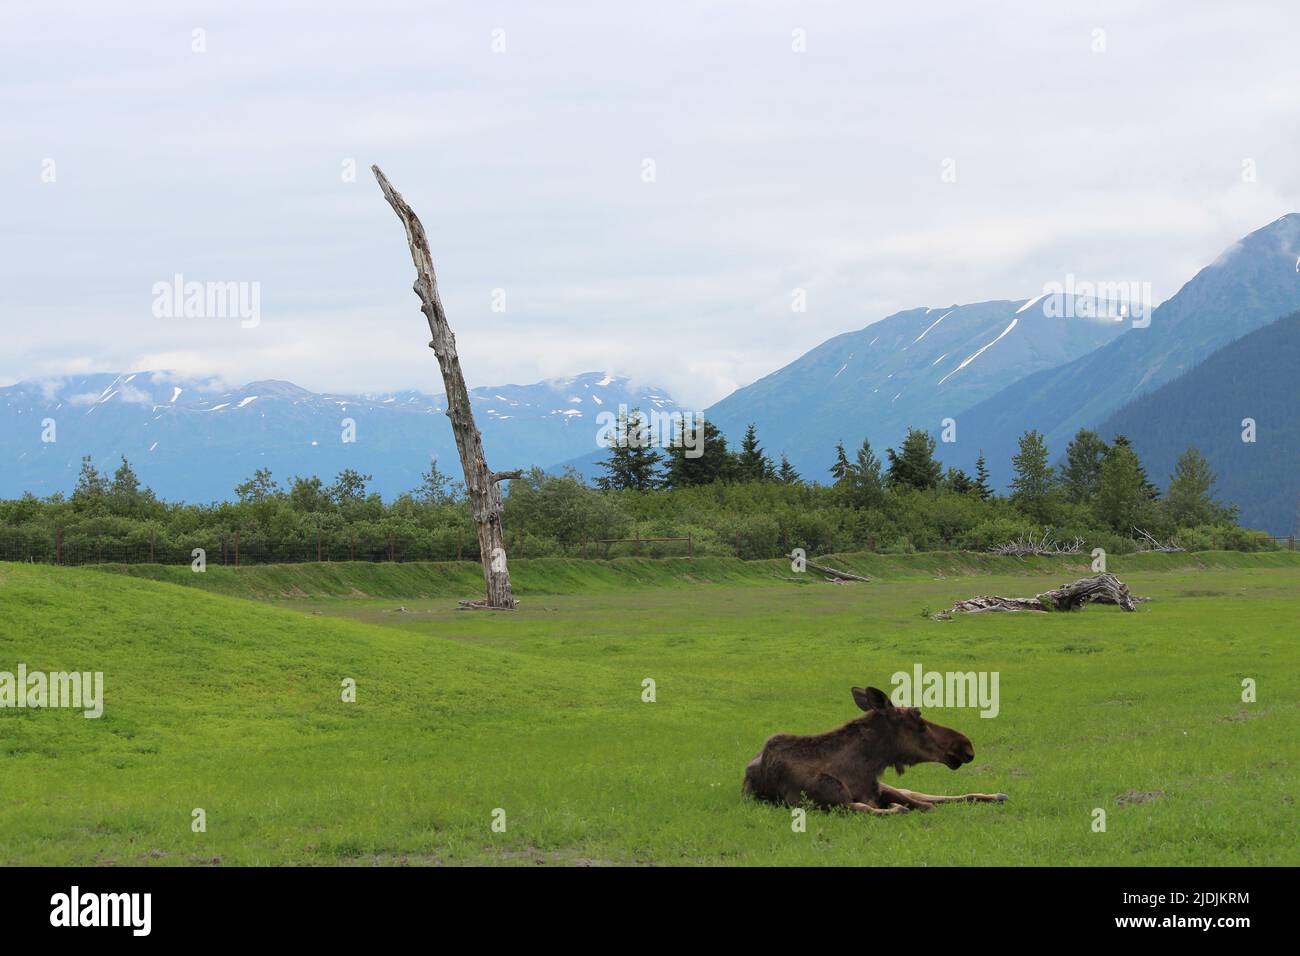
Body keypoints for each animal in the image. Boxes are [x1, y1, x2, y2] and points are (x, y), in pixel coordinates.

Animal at [743, 686, 1008, 815]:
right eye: (919, 720)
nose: (966, 745)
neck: (859, 771)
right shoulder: (814, 802)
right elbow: (884, 809)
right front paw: (895, 808)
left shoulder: (878, 789)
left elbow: (923, 804)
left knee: (922, 794)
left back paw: (996, 795)